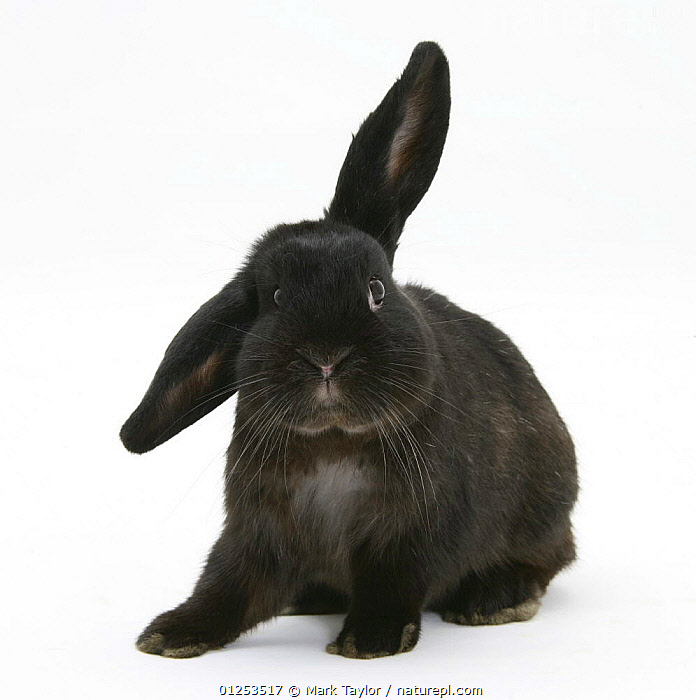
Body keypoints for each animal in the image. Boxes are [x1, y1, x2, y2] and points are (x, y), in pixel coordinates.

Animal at [121, 41, 578, 660]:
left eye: (376, 290)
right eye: (274, 298)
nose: (326, 357)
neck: (333, 444)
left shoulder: (414, 535)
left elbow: (393, 583)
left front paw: (370, 641)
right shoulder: (255, 535)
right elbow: (228, 587)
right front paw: (170, 633)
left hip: (546, 507)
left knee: (549, 558)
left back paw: (495, 599)